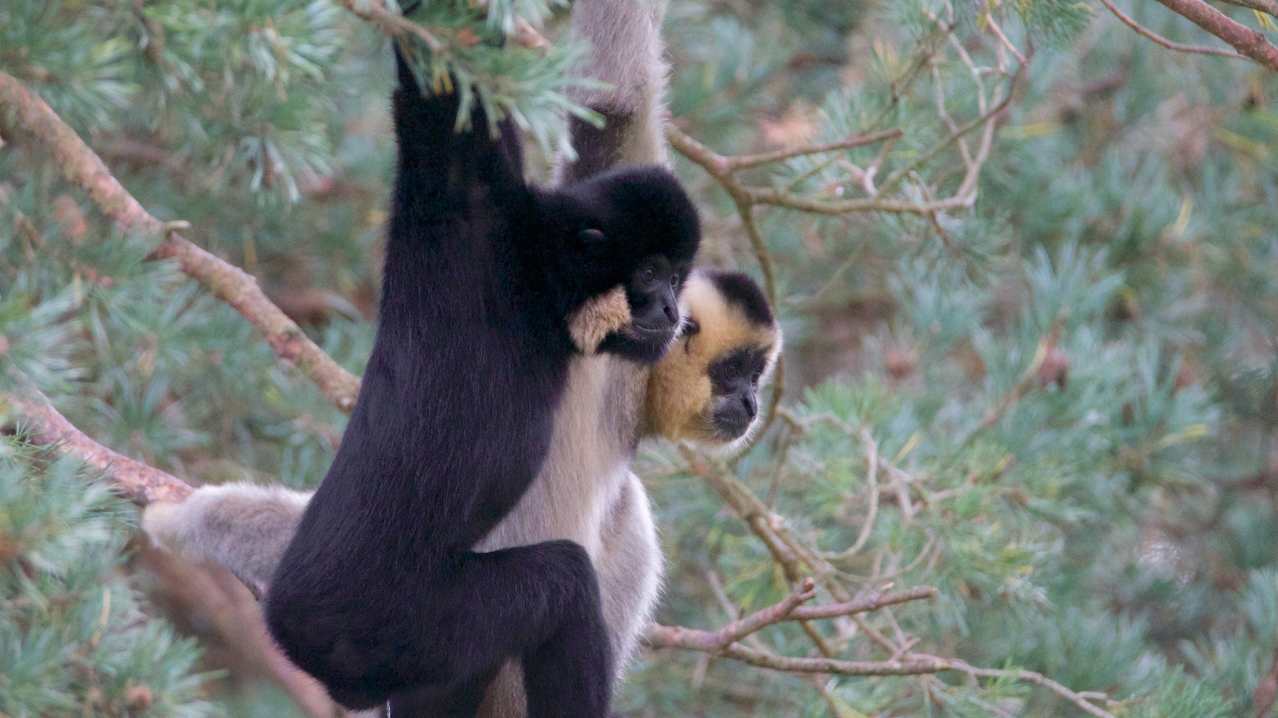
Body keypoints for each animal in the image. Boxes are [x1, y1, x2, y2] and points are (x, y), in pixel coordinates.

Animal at [258, 32, 701, 713]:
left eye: (677, 279)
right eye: (652, 275)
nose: (673, 311)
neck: (534, 284)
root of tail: (291, 619)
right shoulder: (471, 217)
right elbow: (439, 98)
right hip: (395, 630)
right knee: (563, 583)